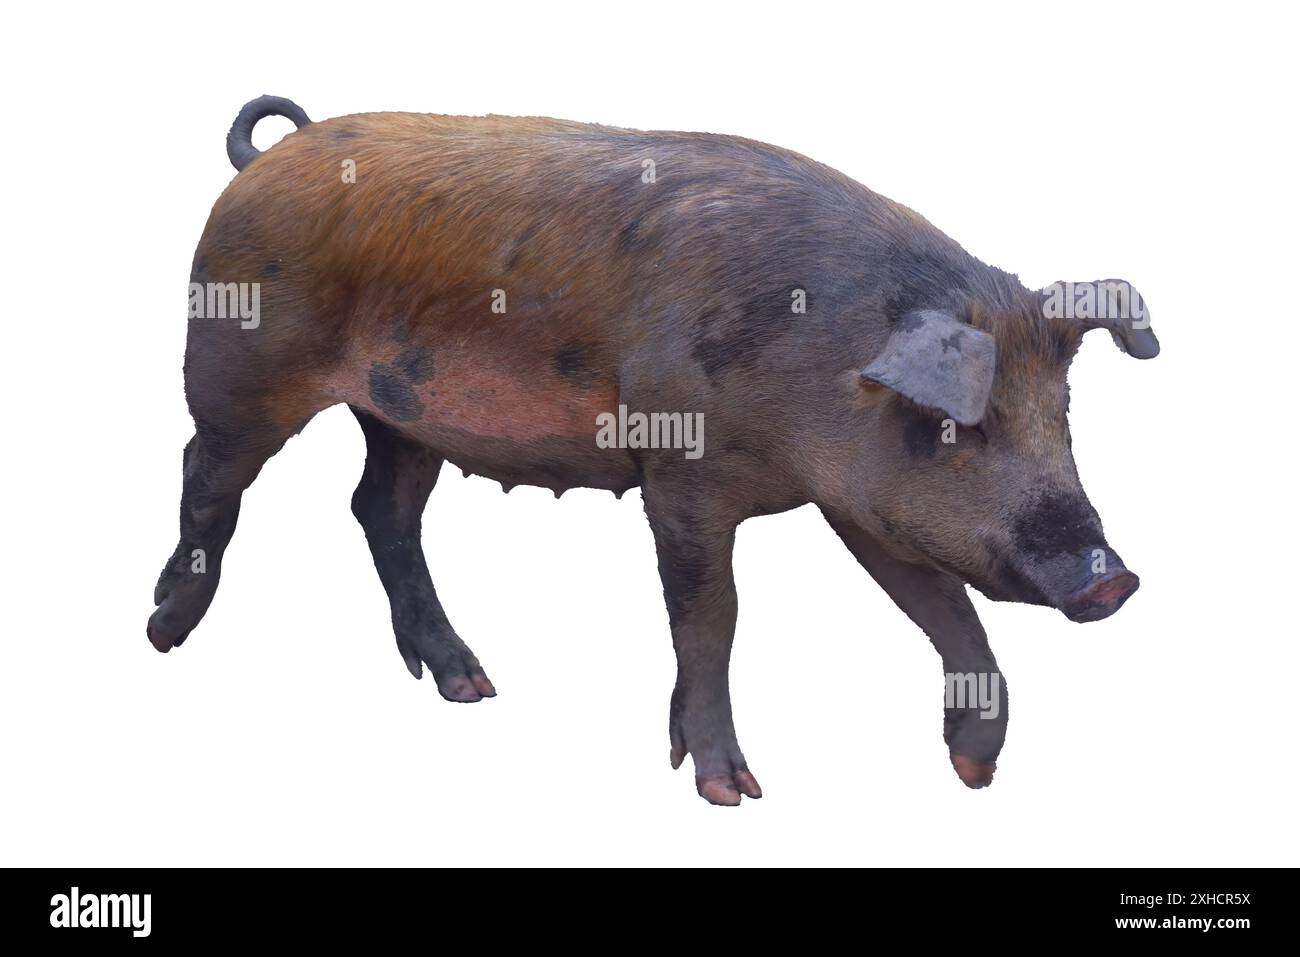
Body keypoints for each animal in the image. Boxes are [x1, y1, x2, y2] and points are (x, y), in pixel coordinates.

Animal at [151, 95, 1159, 805]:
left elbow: (944, 608)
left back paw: (472, 687)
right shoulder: (679, 472)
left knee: (378, 510)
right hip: (236, 361)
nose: (1112, 578)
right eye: (959, 425)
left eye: (1062, 415)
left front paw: (973, 774)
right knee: (208, 479)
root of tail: (267, 156)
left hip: (402, 416)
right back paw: (165, 633)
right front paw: (731, 791)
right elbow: (712, 614)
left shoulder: (856, 502)